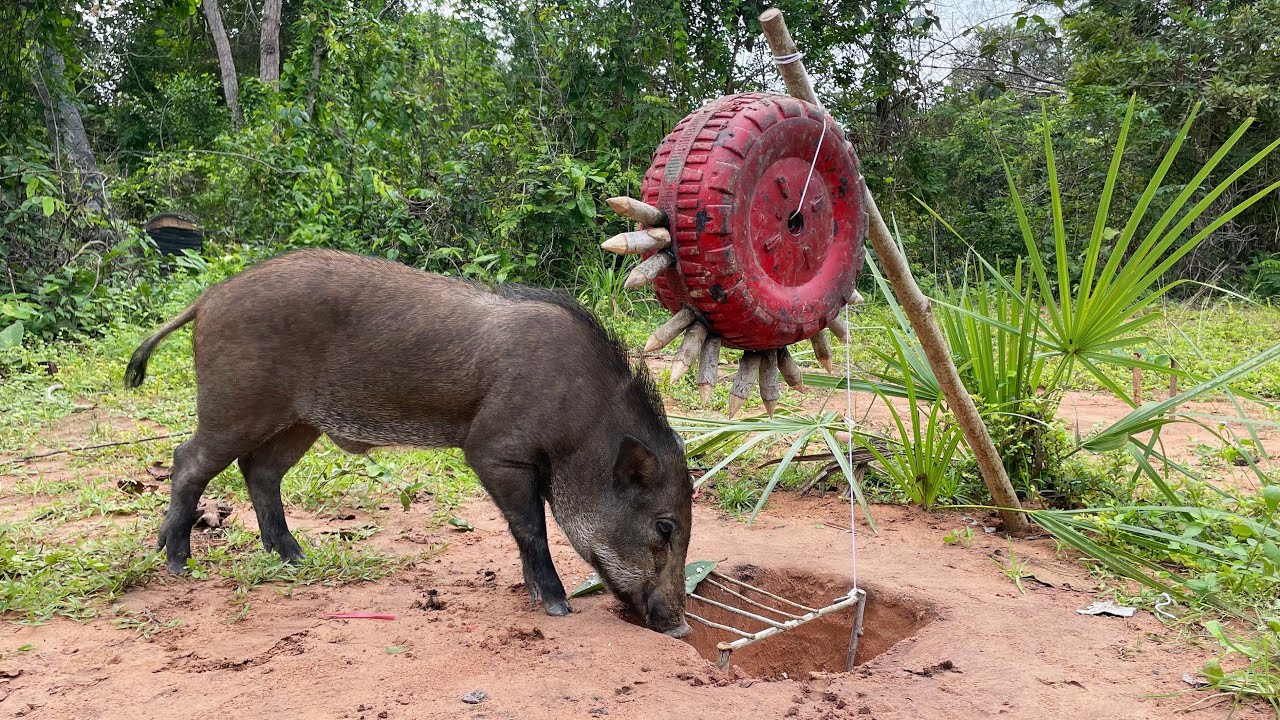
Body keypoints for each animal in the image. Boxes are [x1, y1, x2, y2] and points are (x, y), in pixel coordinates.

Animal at [125, 249, 692, 637]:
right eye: (665, 526)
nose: (680, 624)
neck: (582, 423)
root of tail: (207, 299)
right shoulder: (494, 450)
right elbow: (530, 526)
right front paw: (557, 607)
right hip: (235, 407)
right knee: (187, 460)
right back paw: (177, 564)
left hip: (298, 423)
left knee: (258, 471)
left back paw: (295, 558)